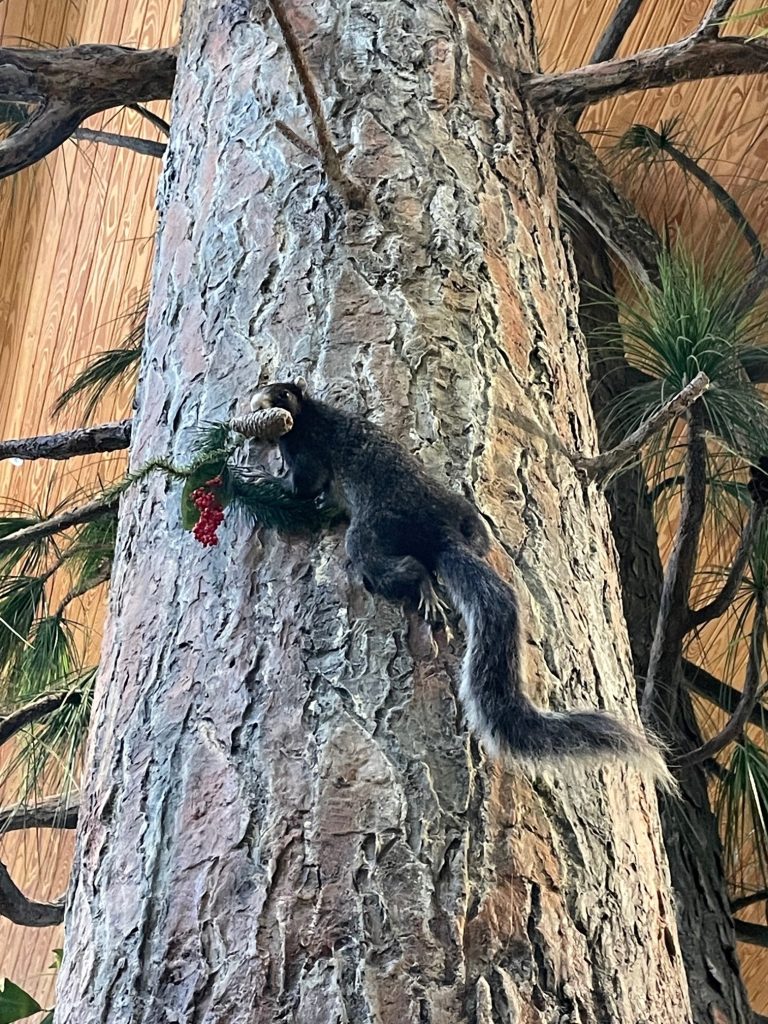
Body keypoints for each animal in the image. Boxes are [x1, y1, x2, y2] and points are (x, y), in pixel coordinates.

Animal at [252, 378, 670, 785]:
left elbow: (304, 484)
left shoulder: (305, 449)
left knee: (395, 566)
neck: (309, 413)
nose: (258, 403)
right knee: (471, 535)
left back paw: (422, 586)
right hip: (460, 511)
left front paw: (268, 477)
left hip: (372, 531)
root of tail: (440, 533)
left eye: (279, 393)